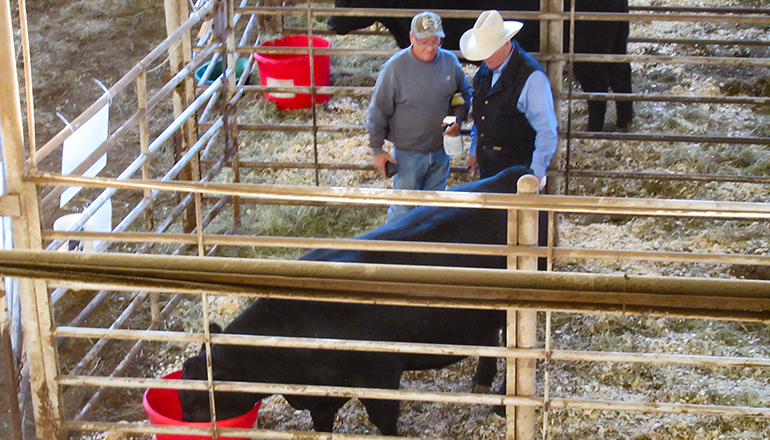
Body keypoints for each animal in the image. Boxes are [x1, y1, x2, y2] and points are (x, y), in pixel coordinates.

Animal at [178, 166, 539, 435]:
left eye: (196, 405)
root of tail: (510, 174)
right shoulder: (321, 399)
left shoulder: (381, 377)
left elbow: (385, 421)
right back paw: (481, 382)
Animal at [327, 0, 633, 132]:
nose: (329, 23)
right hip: (617, 44)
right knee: (623, 74)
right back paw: (624, 122)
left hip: (589, 53)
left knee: (598, 88)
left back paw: (594, 129)